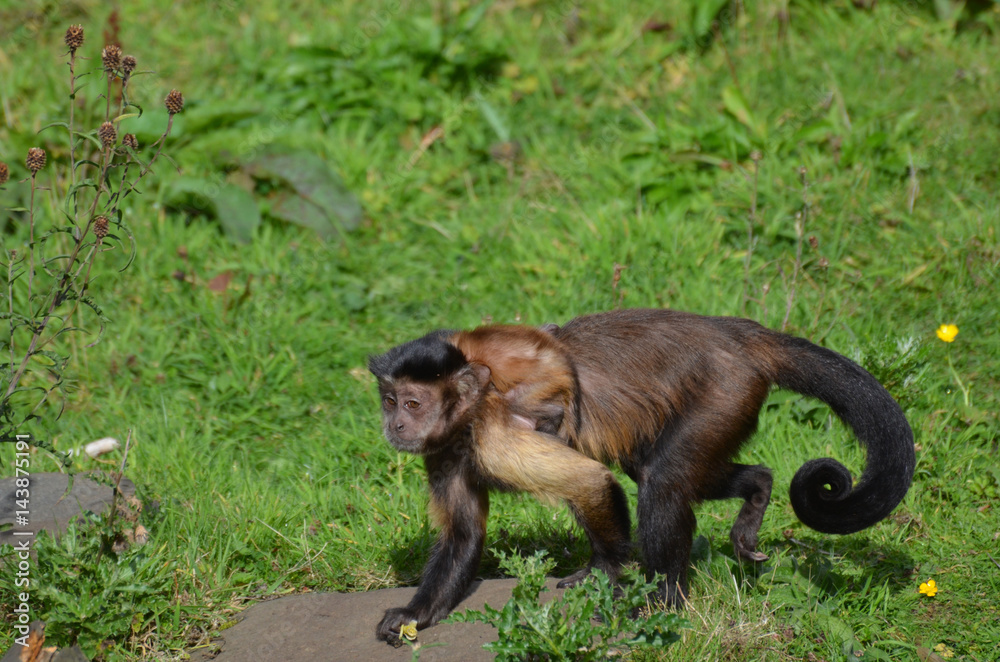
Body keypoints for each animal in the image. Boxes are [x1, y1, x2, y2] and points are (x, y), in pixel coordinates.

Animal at [368, 309, 915, 645]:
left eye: (413, 404)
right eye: (390, 401)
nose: (395, 425)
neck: (466, 420)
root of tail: (740, 334)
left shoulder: (494, 435)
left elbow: (592, 482)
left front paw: (607, 571)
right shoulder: (442, 451)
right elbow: (463, 534)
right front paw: (415, 614)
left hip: (725, 389)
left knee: (662, 480)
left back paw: (663, 602)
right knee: (660, 469)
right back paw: (756, 489)